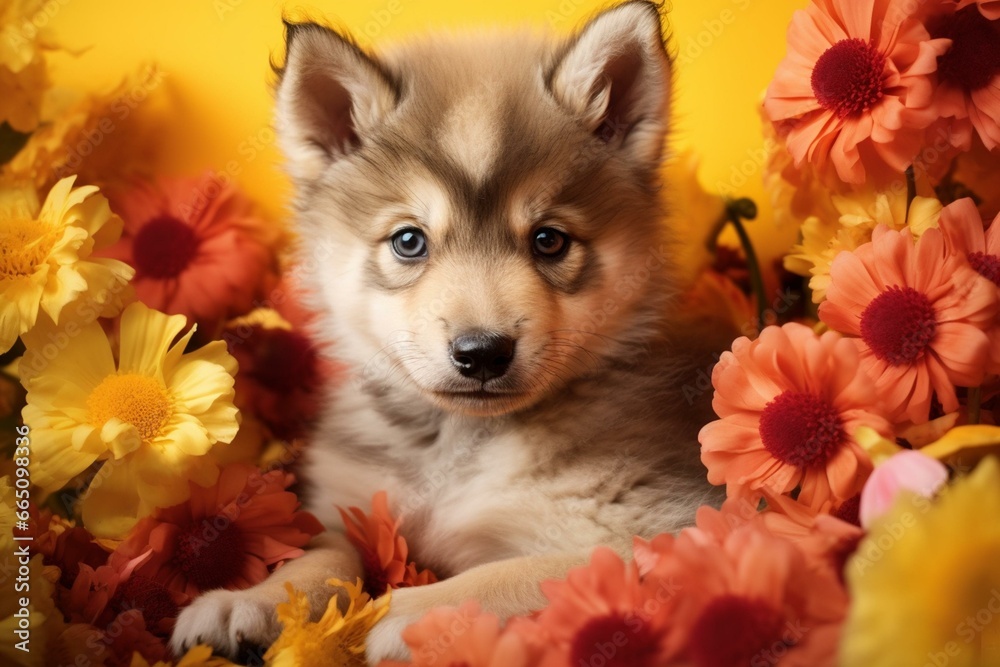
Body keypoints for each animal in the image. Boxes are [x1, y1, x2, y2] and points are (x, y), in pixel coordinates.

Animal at [171, 1, 727, 662]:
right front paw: (252, 598)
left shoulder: (667, 528)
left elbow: (517, 572)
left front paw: (412, 610)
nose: (482, 353)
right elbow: (320, 556)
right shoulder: (350, 506)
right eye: (409, 240)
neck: (459, 445)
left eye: (549, 240)